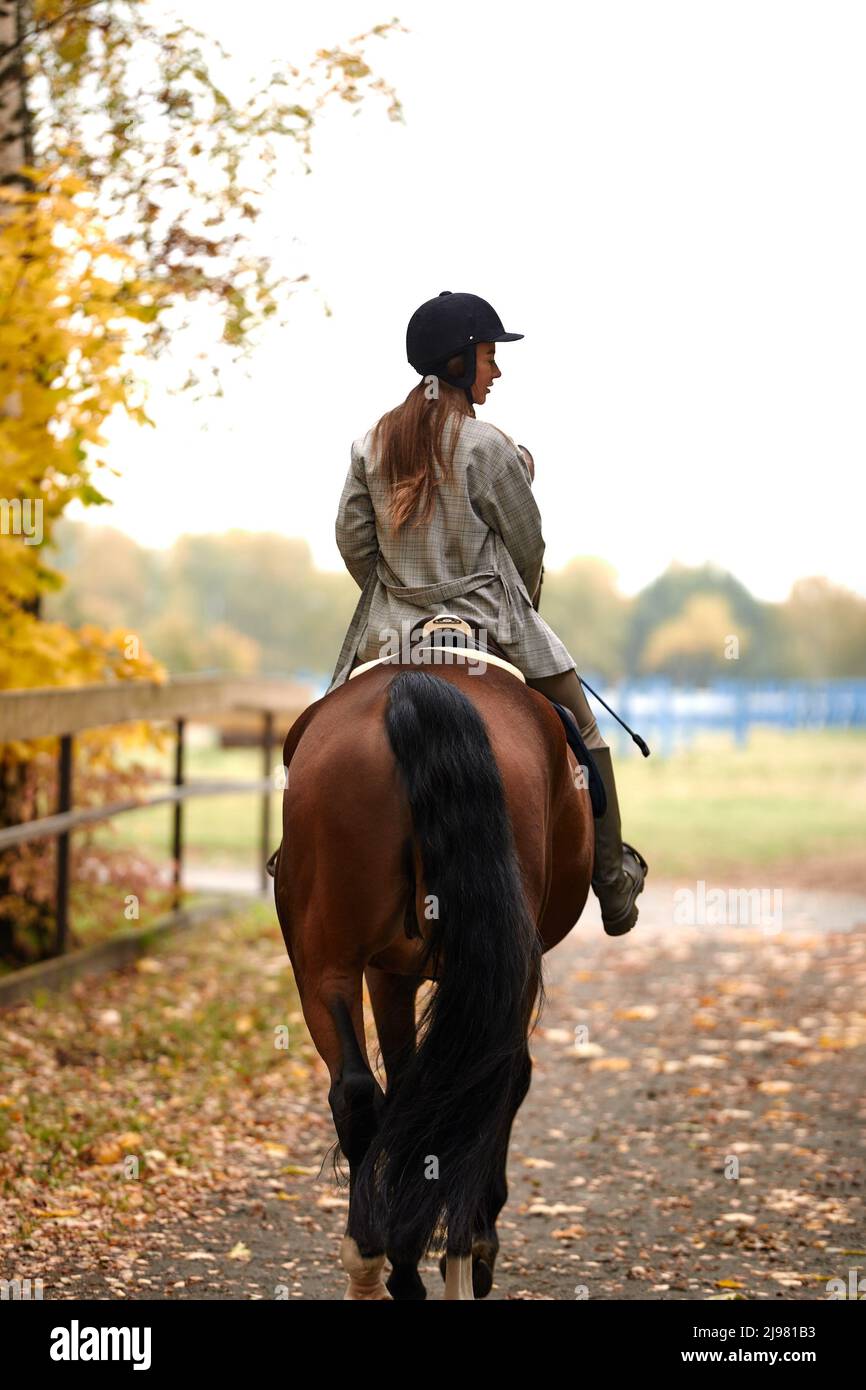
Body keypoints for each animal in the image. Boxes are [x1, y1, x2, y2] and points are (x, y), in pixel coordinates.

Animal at [272, 627, 594, 1300]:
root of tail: (418, 687)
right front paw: (461, 1251)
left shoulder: (387, 972)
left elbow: (406, 1085)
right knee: (483, 1085)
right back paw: (453, 1259)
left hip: (327, 964)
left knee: (358, 1091)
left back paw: (373, 1260)